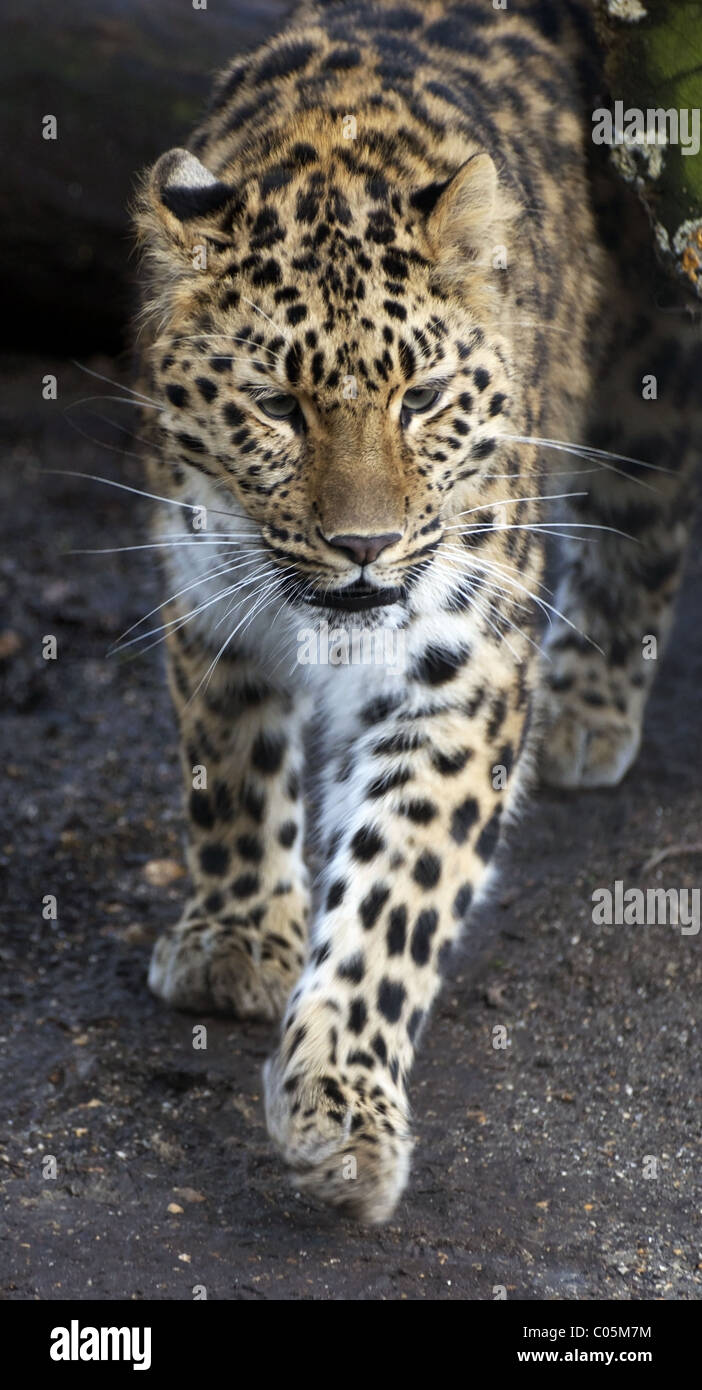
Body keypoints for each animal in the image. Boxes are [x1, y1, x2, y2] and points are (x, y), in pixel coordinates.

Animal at [132, 0, 701, 1223]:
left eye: (423, 398)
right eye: (276, 406)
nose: (364, 548)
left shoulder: (460, 666)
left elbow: (396, 889)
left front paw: (340, 1108)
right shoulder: (203, 590)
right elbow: (228, 767)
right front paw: (238, 936)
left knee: (655, 490)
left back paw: (590, 697)